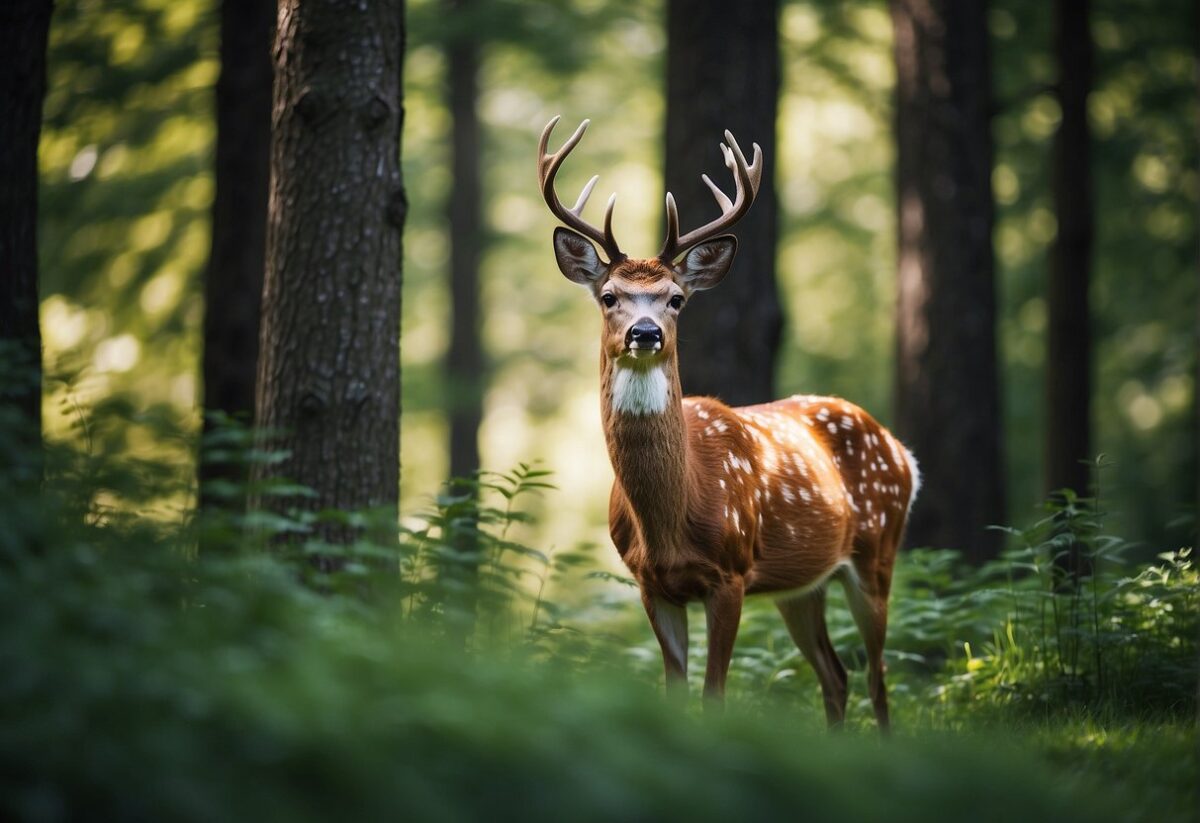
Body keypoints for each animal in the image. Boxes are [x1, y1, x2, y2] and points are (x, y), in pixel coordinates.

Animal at [537, 116, 920, 730]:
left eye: (675, 298)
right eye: (609, 296)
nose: (645, 332)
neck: (672, 517)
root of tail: (901, 451)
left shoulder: (731, 575)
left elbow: (714, 694)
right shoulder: (652, 585)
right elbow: (673, 691)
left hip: (877, 552)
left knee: (878, 679)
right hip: (801, 584)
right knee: (835, 675)